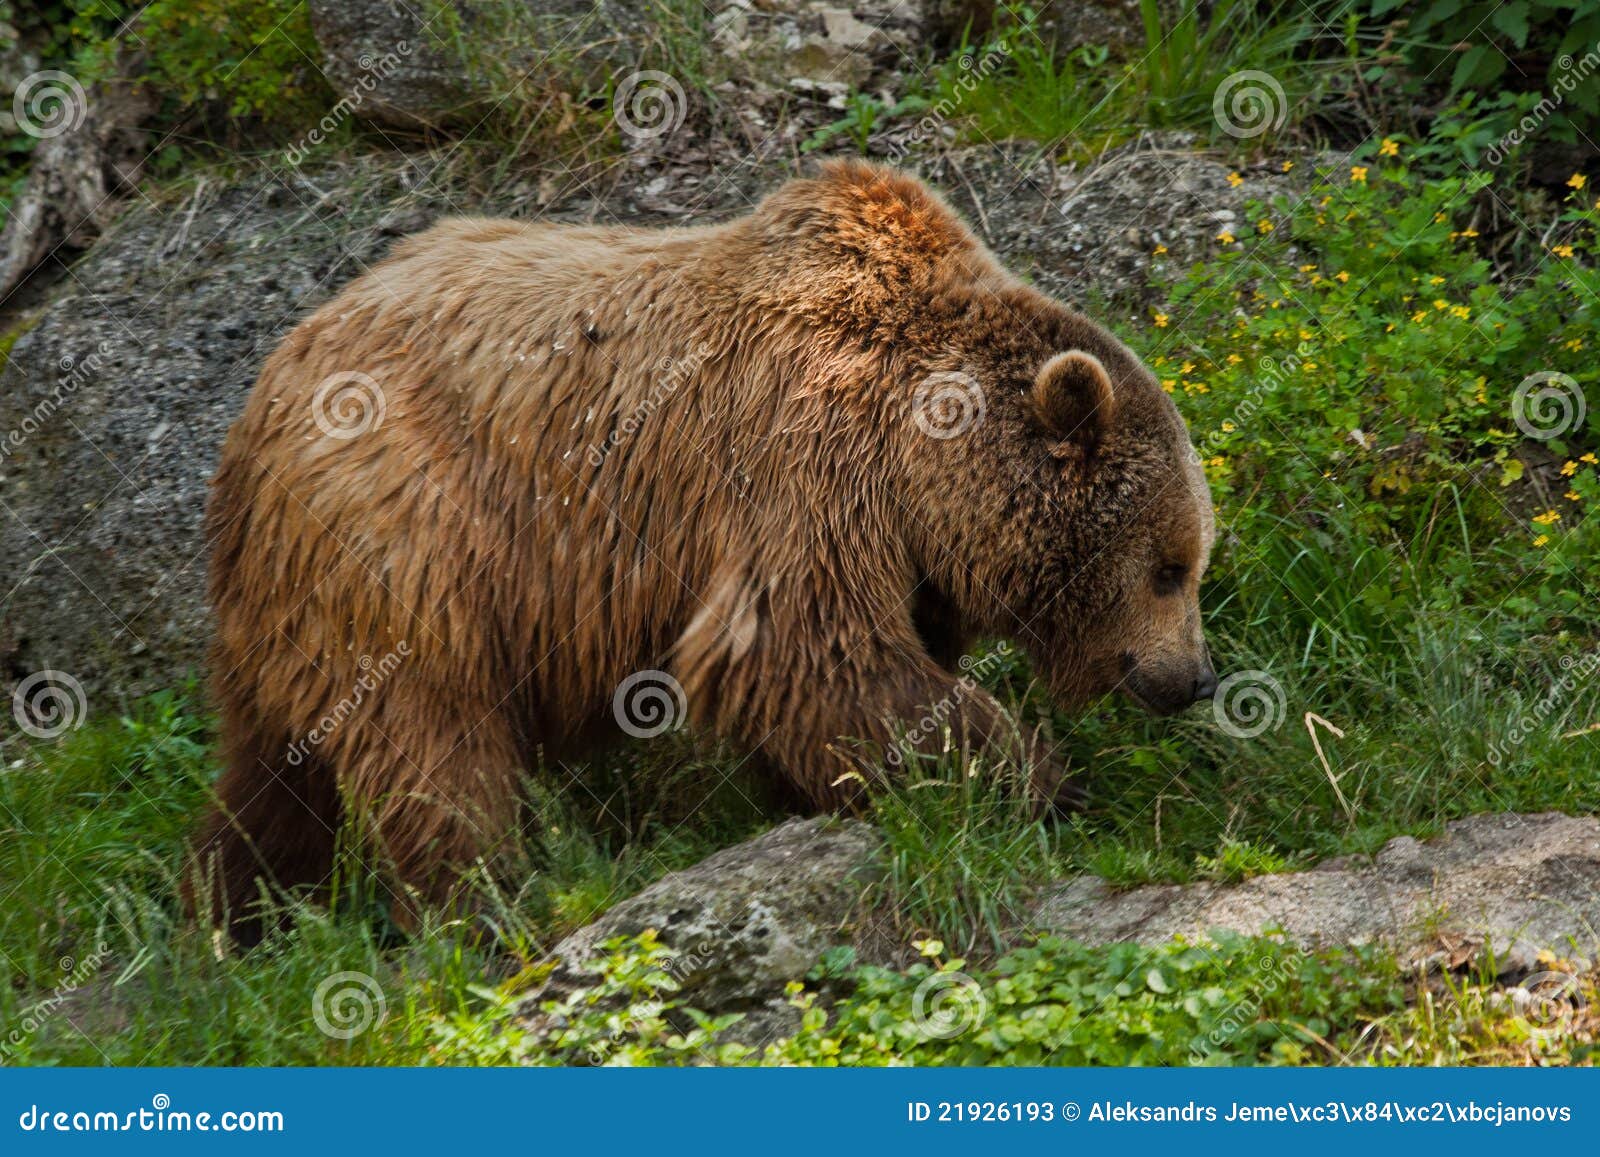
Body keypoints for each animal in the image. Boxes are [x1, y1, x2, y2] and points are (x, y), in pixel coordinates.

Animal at [195, 160, 1216, 936]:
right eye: (1170, 567)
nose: (1196, 677)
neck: (918, 451)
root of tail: (265, 395)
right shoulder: (803, 461)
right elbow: (808, 650)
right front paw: (1042, 784)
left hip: (294, 596)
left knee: (274, 774)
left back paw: (238, 917)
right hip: (409, 530)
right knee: (433, 741)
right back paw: (486, 903)